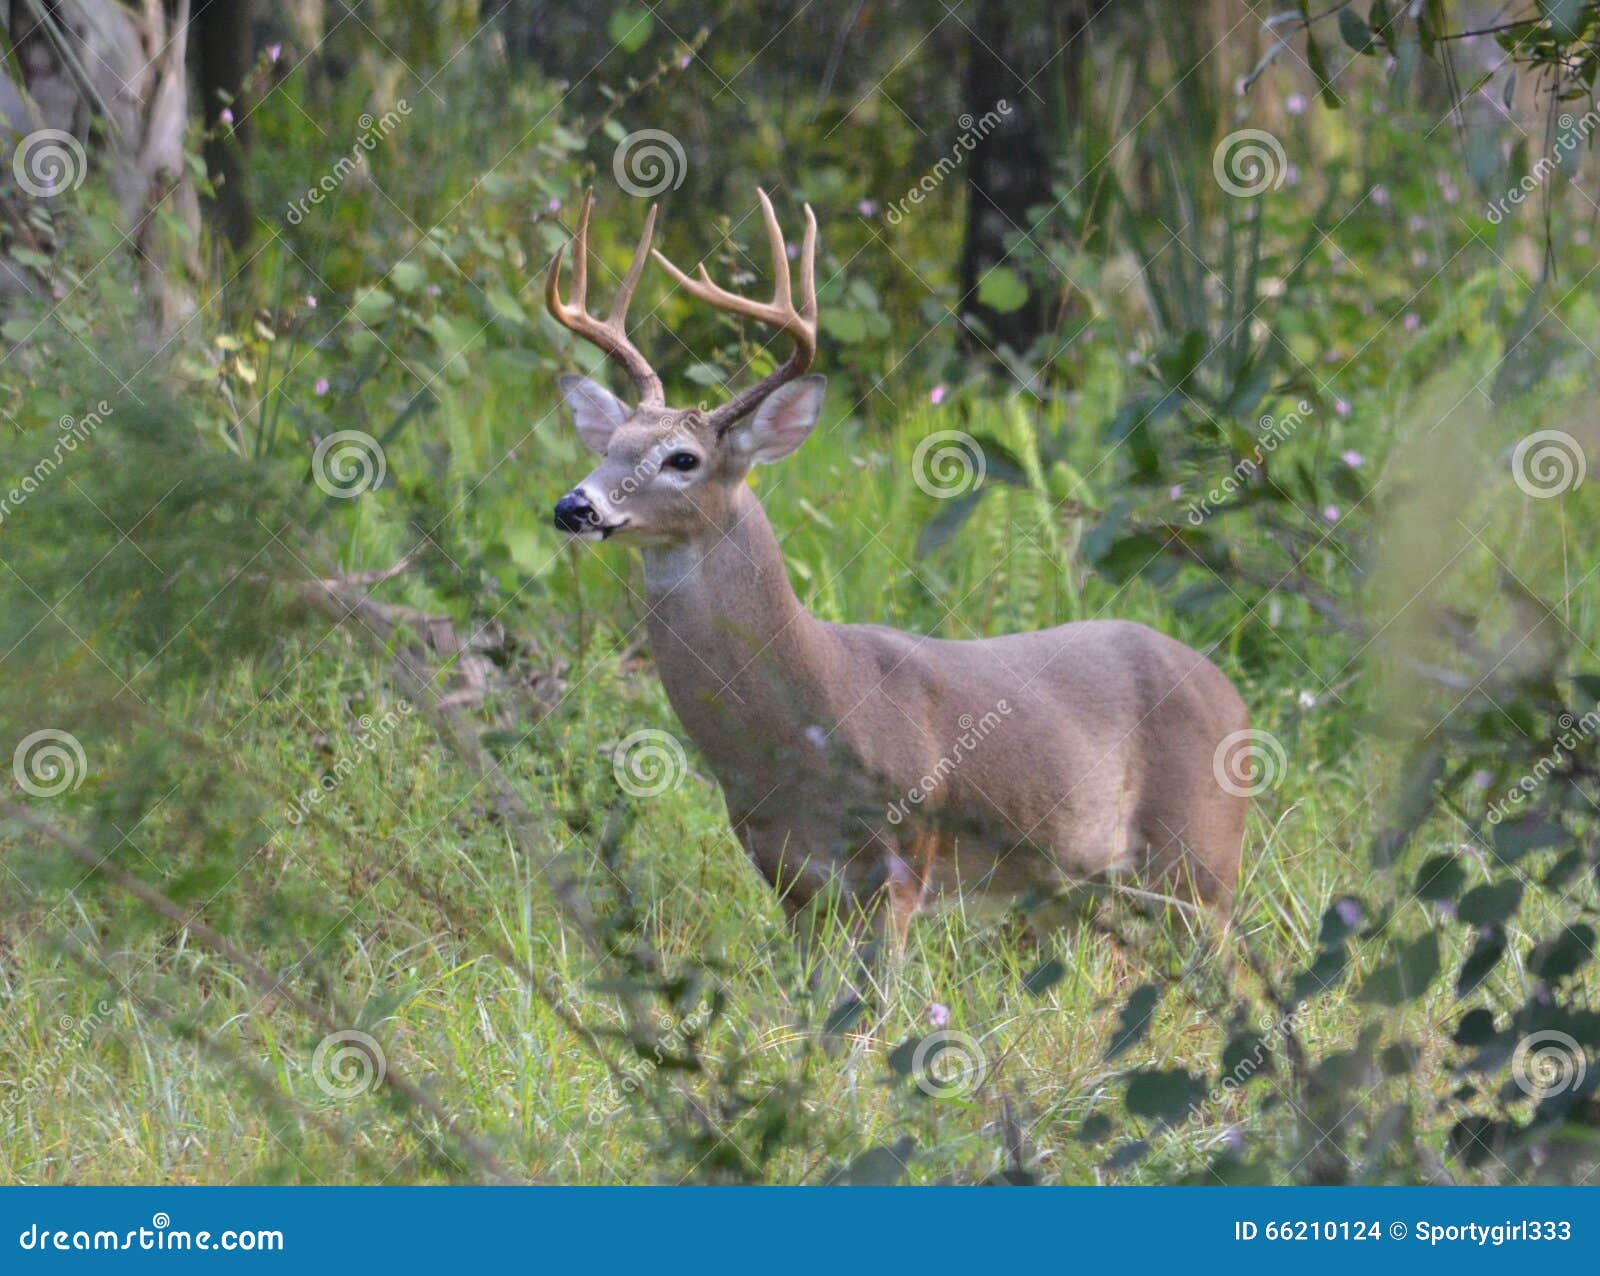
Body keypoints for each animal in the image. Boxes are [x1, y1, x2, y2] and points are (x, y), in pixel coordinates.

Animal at [546, 189, 1251, 989]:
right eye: (610, 448)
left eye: (682, 458)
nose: (575, 507)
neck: (806, 713)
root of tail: (1231, 694)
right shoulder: (787, 875)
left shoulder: (904, 854)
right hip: (1080, 882)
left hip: (1201, 856)